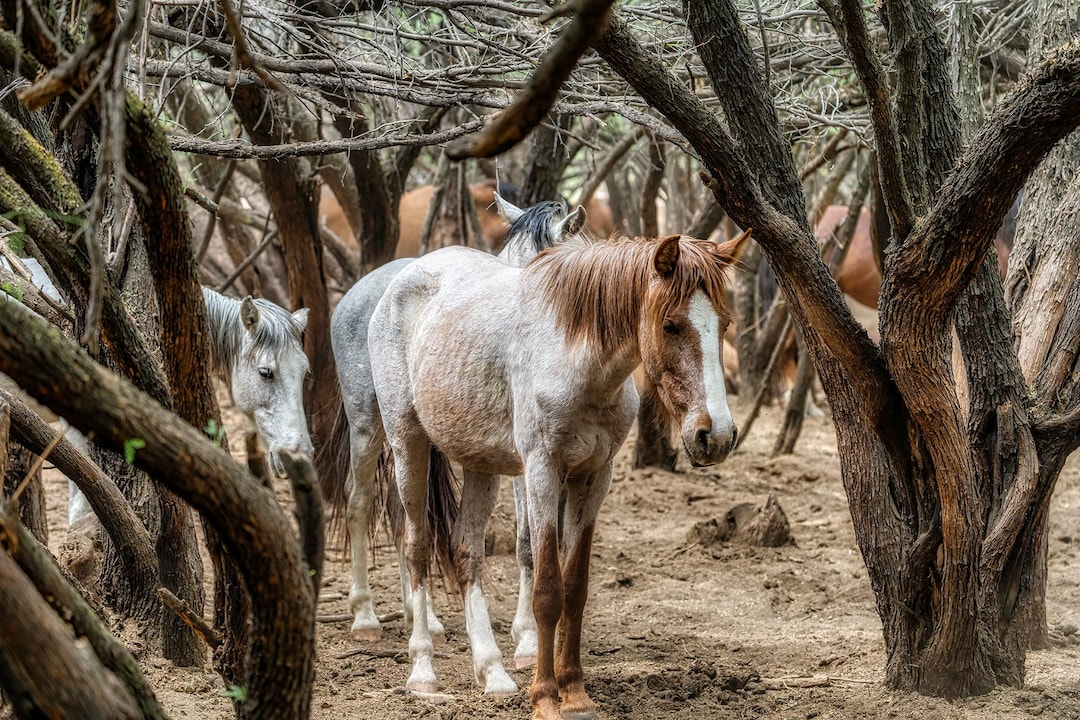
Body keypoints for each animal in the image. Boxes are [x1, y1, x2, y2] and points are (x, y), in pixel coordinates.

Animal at [317, 197, 587, 658]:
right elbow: (527, 542)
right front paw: (527, 638)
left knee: (402, 514)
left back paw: (421, 619)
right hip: (369, 427)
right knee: (359, 503)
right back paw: (365, 616)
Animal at [367, 226, 749, 716]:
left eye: (724, 325)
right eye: (671, 325)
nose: (715, 435)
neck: (579, 364)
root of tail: (404, 276)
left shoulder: (594, 478)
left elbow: (576, 589)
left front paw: (576, 692)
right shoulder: (543, 473)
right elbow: (548, 589)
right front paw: (547, 696)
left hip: (480, 465)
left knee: (465, 552)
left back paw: (492, 671)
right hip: (408, 447)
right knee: (416, 548)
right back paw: (423, 672)